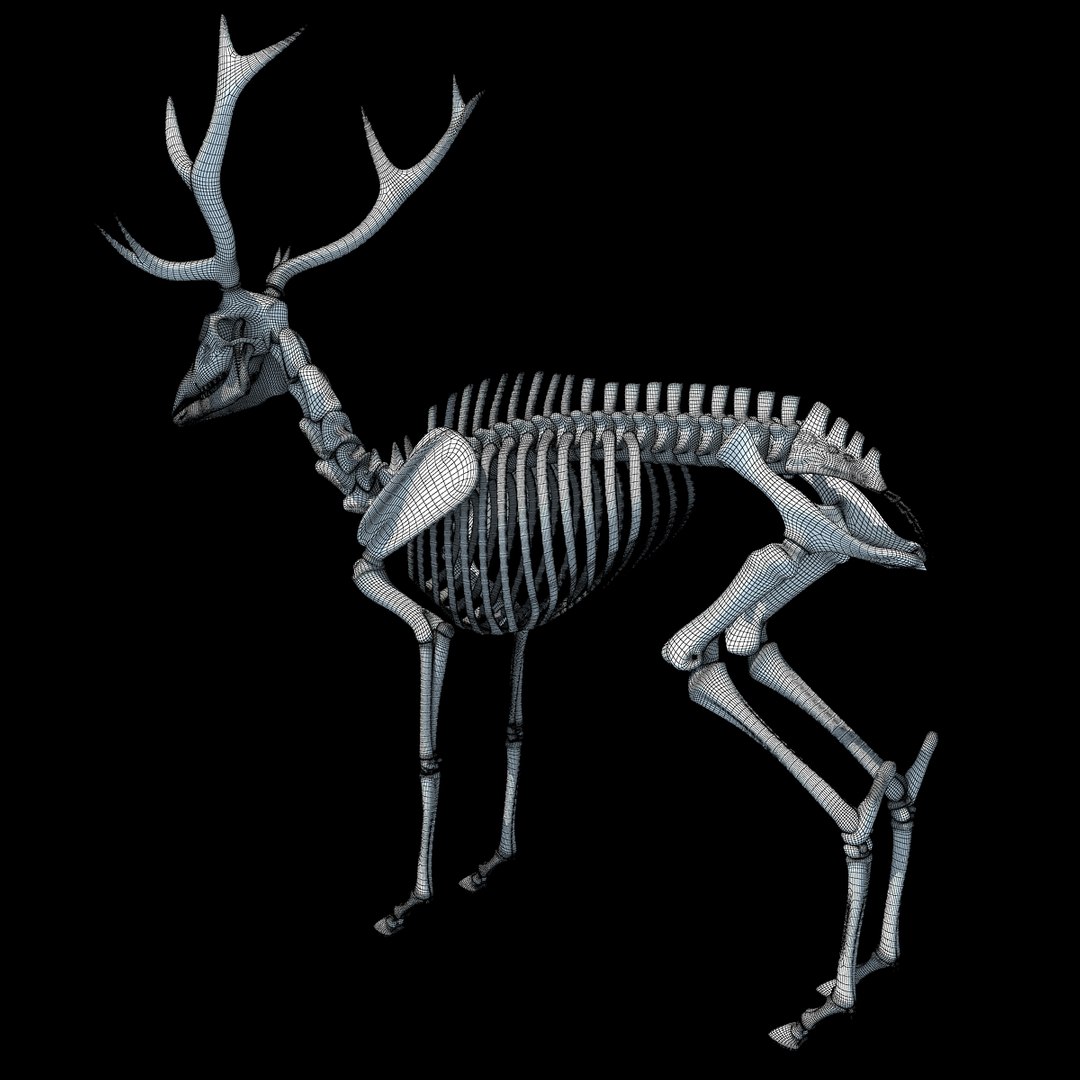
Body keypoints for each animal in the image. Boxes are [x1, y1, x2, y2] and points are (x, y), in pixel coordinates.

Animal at [101, 17, 937, 1049]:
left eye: (224, 327)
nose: (178, 407)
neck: (376, 472)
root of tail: (838, 459)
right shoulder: (521, 607)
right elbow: (511, 724)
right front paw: (489, 862)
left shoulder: (405, 595)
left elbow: (426, 721)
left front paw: (409, 900)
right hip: (820, 536)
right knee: (779, 646)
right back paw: (873, 945)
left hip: (778, 508)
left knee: (707, 657)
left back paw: (825, 999)